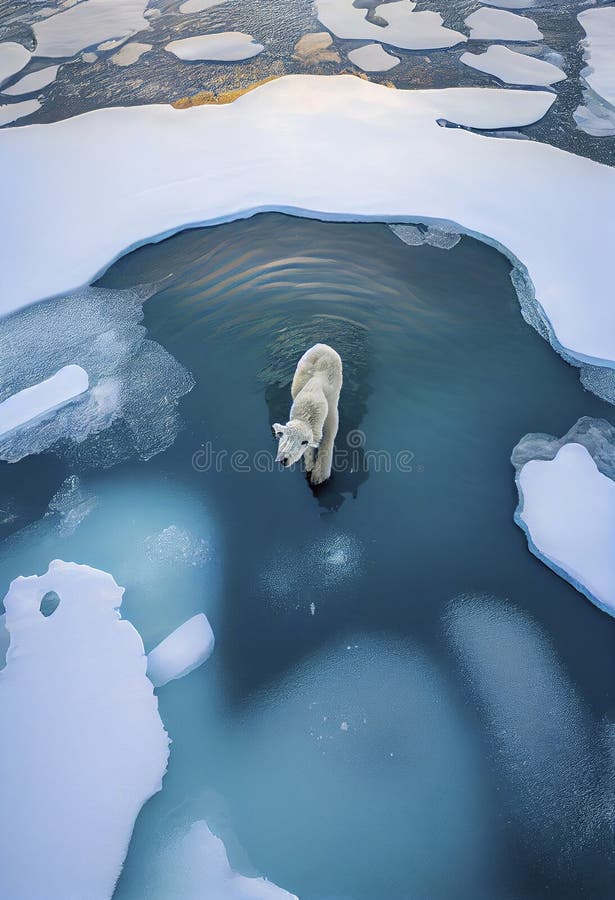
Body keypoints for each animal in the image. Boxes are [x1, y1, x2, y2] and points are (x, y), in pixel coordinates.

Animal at [273, 343, 343, 486]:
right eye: (283, 439)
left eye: (302, 443)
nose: (283, 460)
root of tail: (322, 345)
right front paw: (310, 465)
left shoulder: (330, 409)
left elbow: (329, 434)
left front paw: (319, 476)